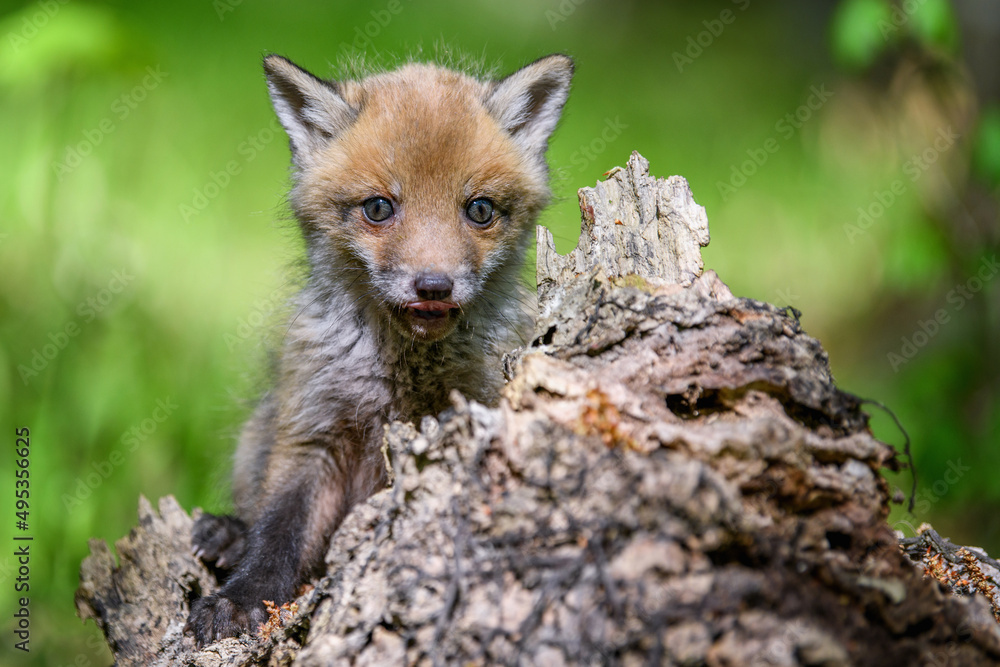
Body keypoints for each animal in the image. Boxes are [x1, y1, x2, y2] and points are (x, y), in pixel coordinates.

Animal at [184, 52, 573, 646]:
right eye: (378, 208)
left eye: (480, 210)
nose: (434, 286)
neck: (404, 376)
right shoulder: (312, 431)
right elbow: (278, 529)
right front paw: (242, 599)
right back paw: (228, 533)